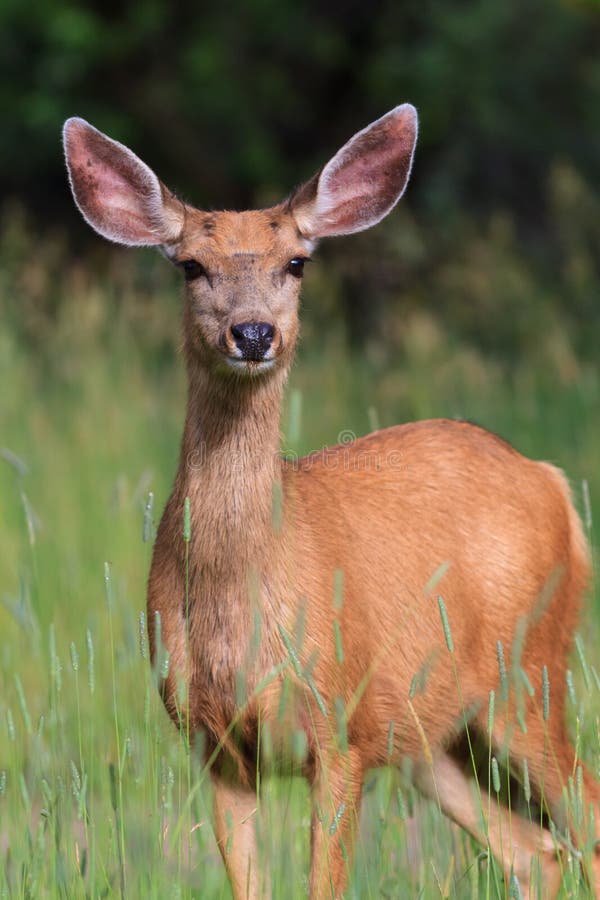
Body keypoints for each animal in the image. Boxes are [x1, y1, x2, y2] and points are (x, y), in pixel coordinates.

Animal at [63, 104, 600, 899]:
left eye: (296, 262)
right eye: (191, 264)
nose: (253, 333)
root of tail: (554, 483)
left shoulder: (340, 725)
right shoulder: (215, 745)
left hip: (528, 675)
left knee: (581, 821)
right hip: (436, 736)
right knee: (536, 852)